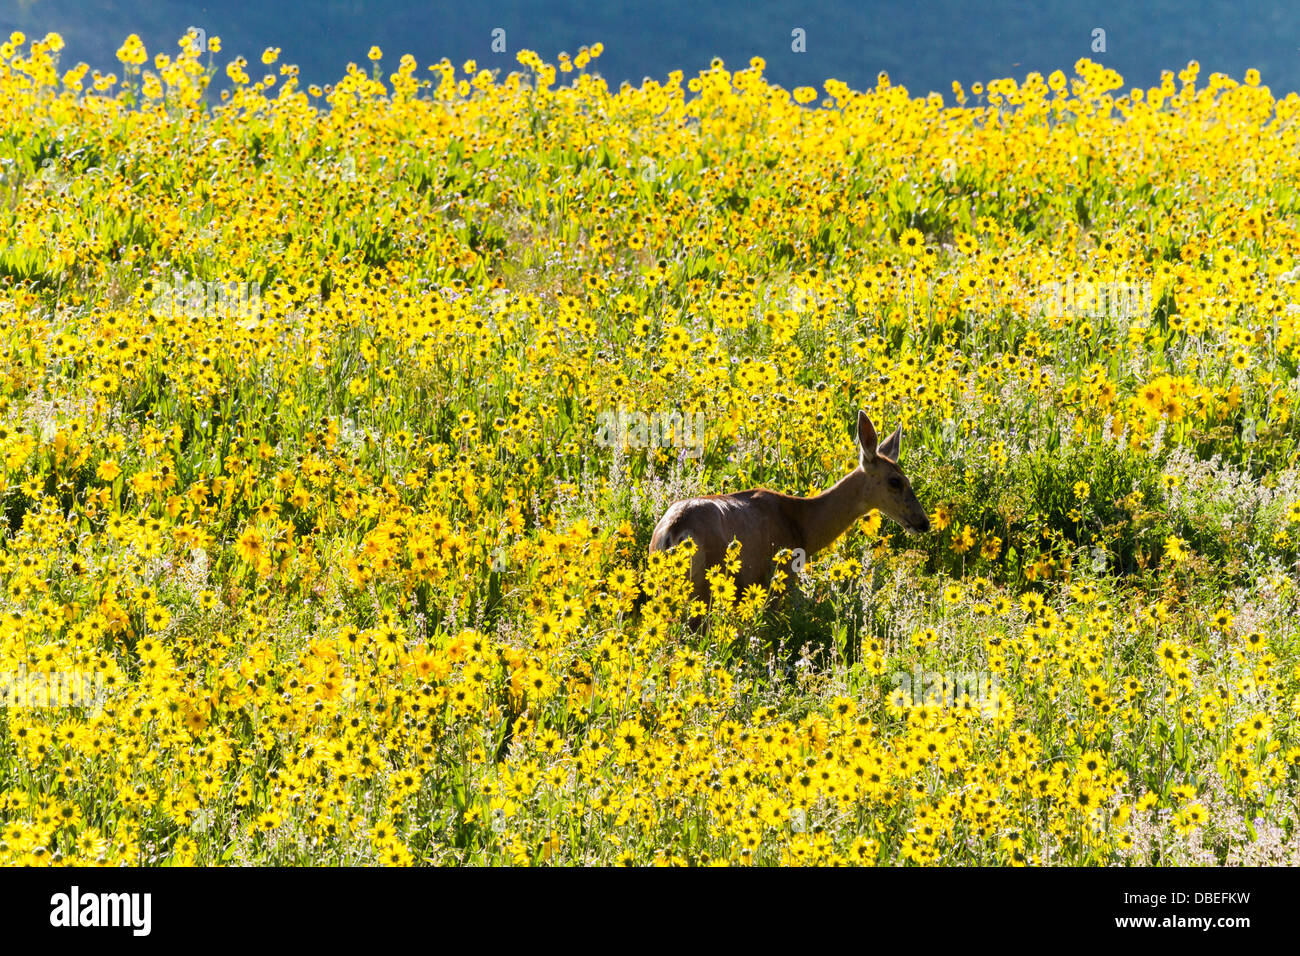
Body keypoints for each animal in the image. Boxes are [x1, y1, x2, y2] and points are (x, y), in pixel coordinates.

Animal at [648, 410, 930, 606]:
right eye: (895, 481)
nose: (923, 522)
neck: (803, 525)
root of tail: (674, 530)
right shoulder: (781, 577)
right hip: (705, 584)